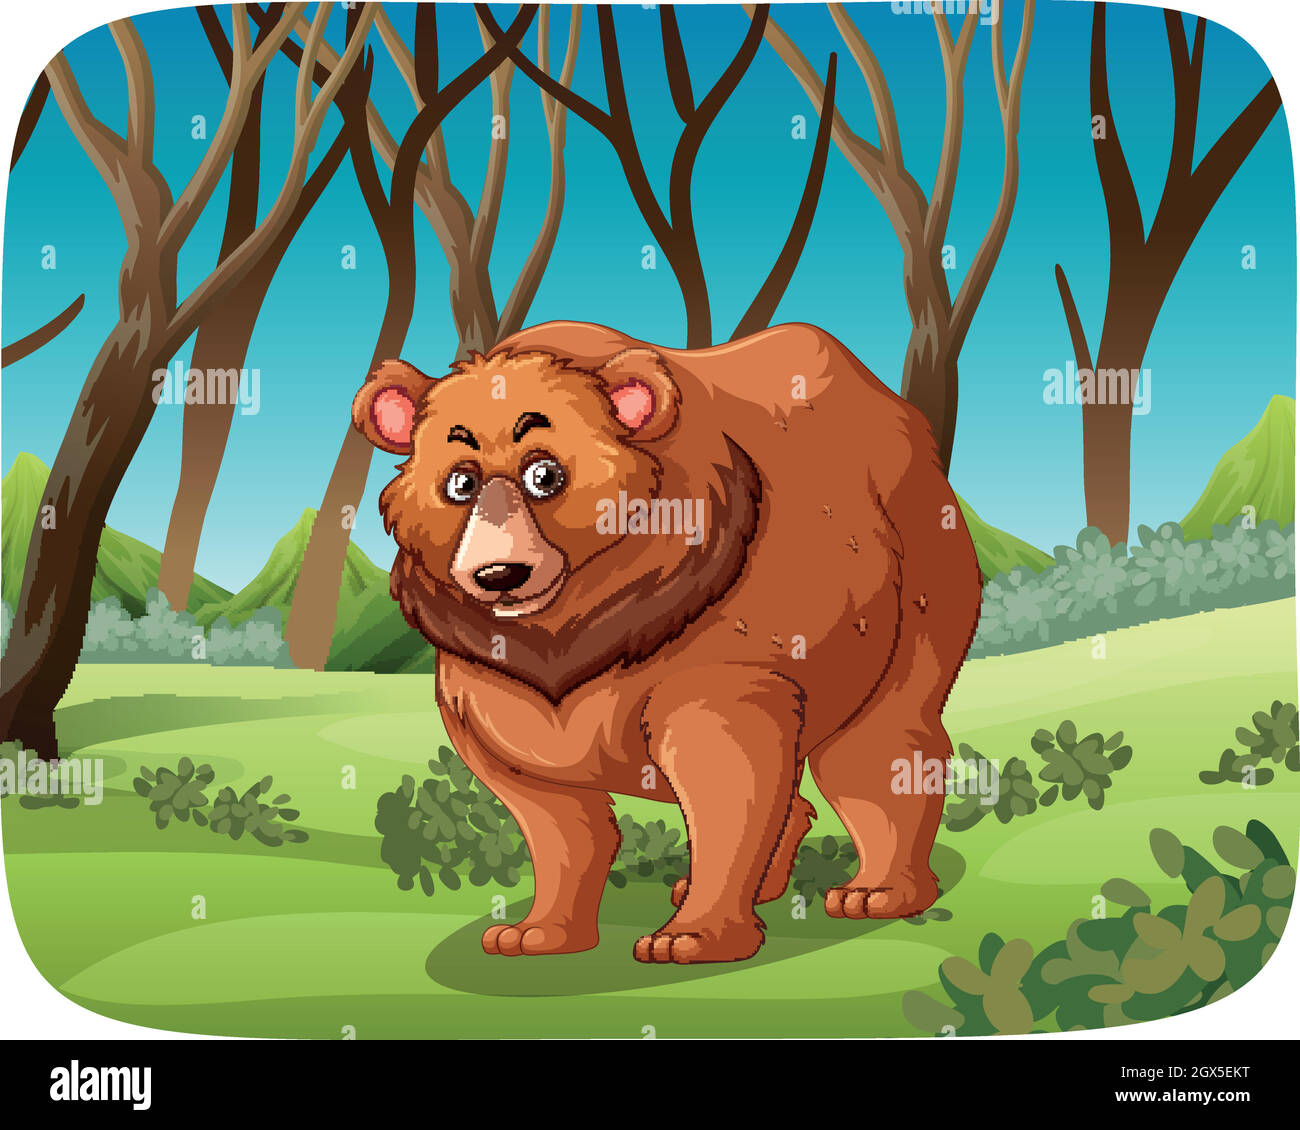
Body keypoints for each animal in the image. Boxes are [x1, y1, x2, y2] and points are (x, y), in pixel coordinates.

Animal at [352, 320, 982, 964]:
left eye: (545, 474)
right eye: (460, 482)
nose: (499, 573)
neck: (573, 624)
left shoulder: (719, 659)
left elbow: (728, 779)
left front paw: (689, 937)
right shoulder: (485, 676)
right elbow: (549, 812)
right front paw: (534, 932)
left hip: (916, 575)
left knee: (874, 741)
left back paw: (875, 894)